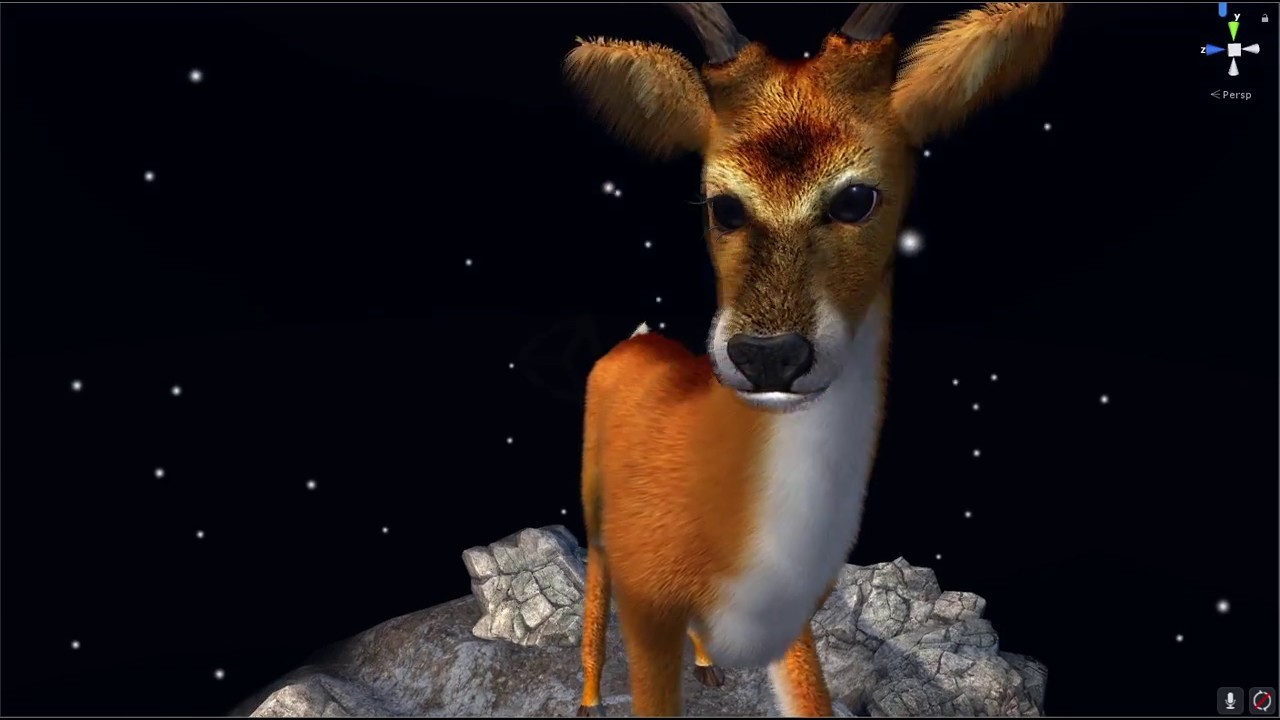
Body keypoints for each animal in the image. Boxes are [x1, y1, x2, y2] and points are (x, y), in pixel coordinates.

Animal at [562, 3, 1066, 716]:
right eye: (721, 203)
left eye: (858, 197)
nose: (768, 356)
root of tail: (637, 338)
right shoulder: (649, 601)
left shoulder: (794, 619)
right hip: (596, 505)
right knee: (597, 581)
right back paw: (586, 697)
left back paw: (710, 667)